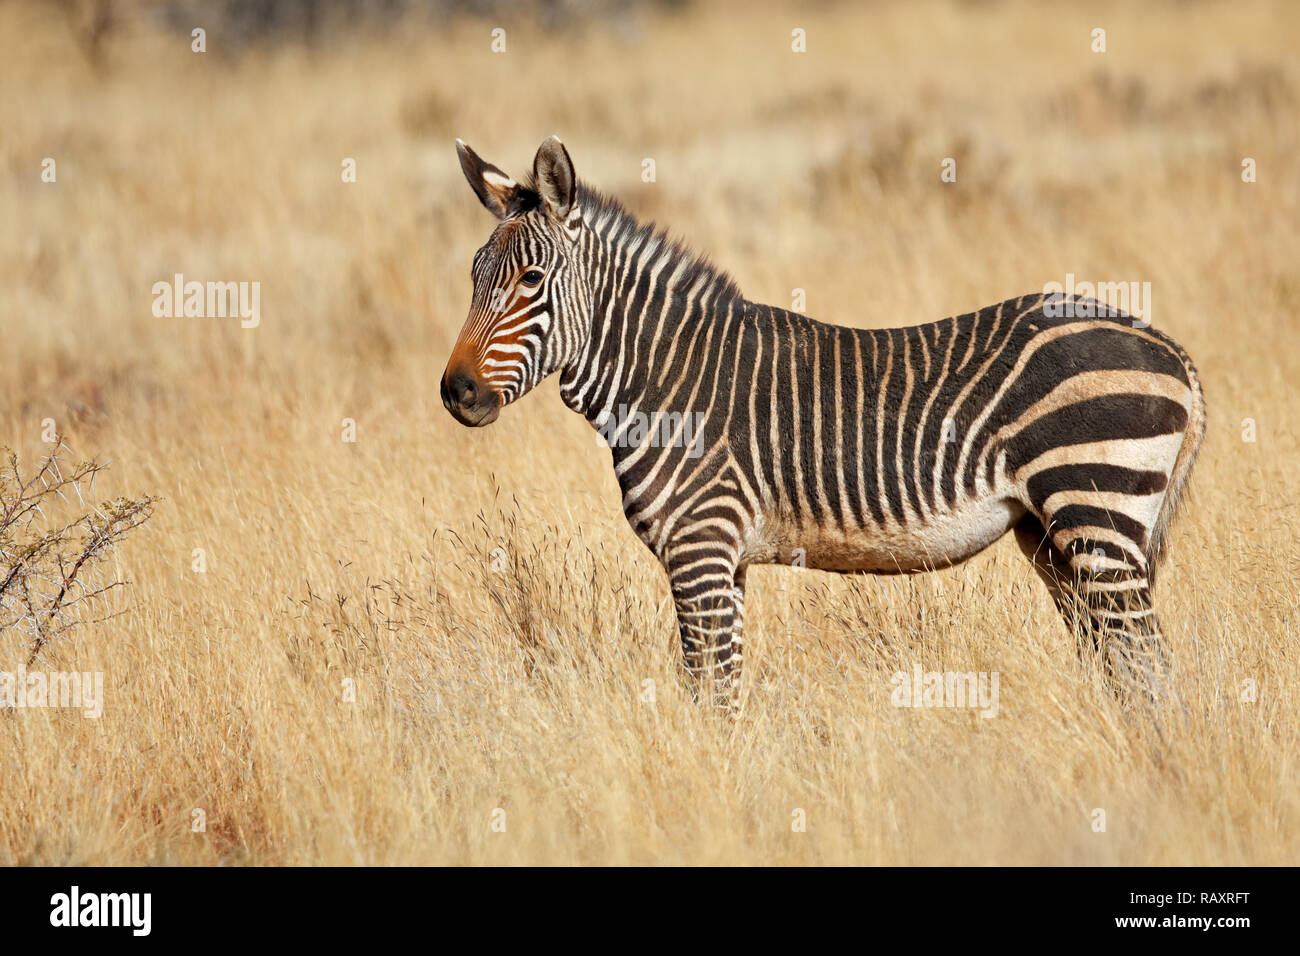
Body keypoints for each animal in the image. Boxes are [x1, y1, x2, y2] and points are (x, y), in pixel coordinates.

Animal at [441, 136, 1205, 715]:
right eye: (472, 276)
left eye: (532, 280)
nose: (456, 392)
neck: (665, 380)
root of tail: (1169, 347)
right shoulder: (724, 561)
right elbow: (718, 692)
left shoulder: (700, 549)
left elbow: (710, 698)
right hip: (1053, 536)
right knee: (1126, 671)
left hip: (1097, 506)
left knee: (1150, 671)